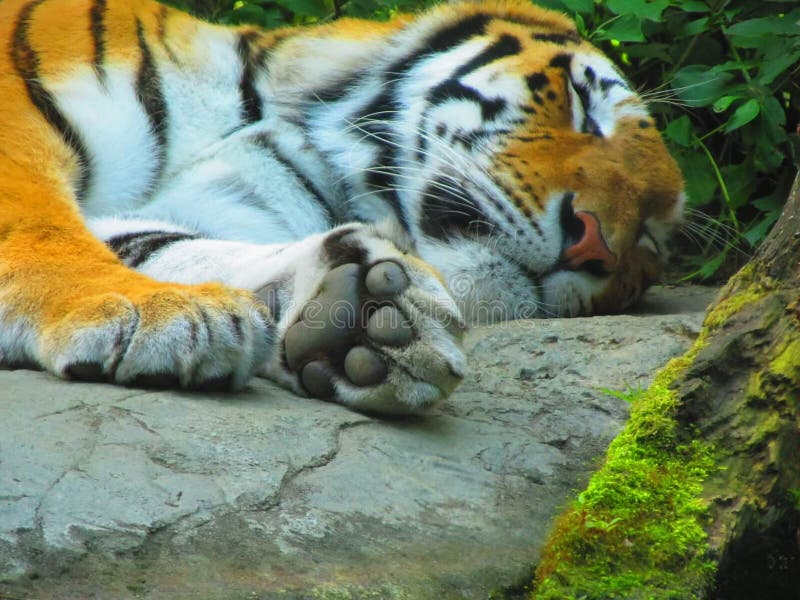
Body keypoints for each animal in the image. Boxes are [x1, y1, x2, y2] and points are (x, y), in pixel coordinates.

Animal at [0, 0, 685, 414]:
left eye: (649, 241)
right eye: (583, 106)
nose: (595, 244)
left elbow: (171, 245)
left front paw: (359, 316)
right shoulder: (16, 131)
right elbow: (39, 225)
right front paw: (149, 311)